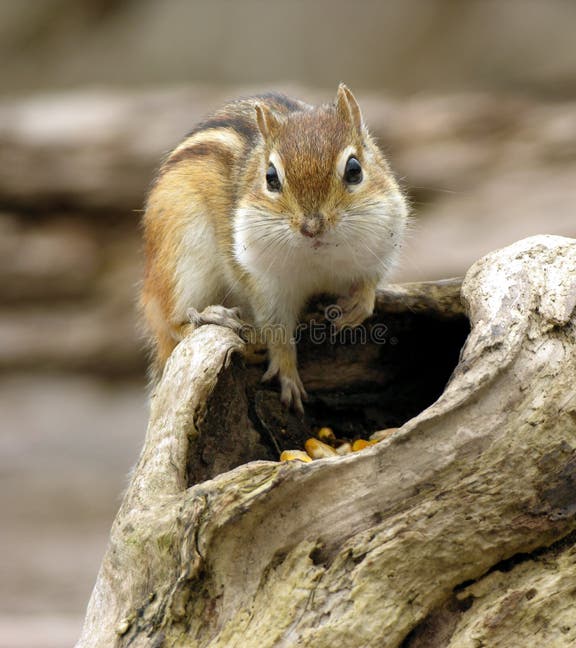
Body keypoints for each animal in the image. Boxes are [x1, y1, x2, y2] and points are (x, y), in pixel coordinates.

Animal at [140, 84, 408, 412]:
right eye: (270, 178)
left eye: (355, 169)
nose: (311, 227)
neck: (318, 259)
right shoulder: (264, 283)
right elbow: (276, 329)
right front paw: (288, 376)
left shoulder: (381, 247)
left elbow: (370, 283)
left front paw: (359, 304)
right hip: (181, 256)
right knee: (170, 322)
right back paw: (212, 316)